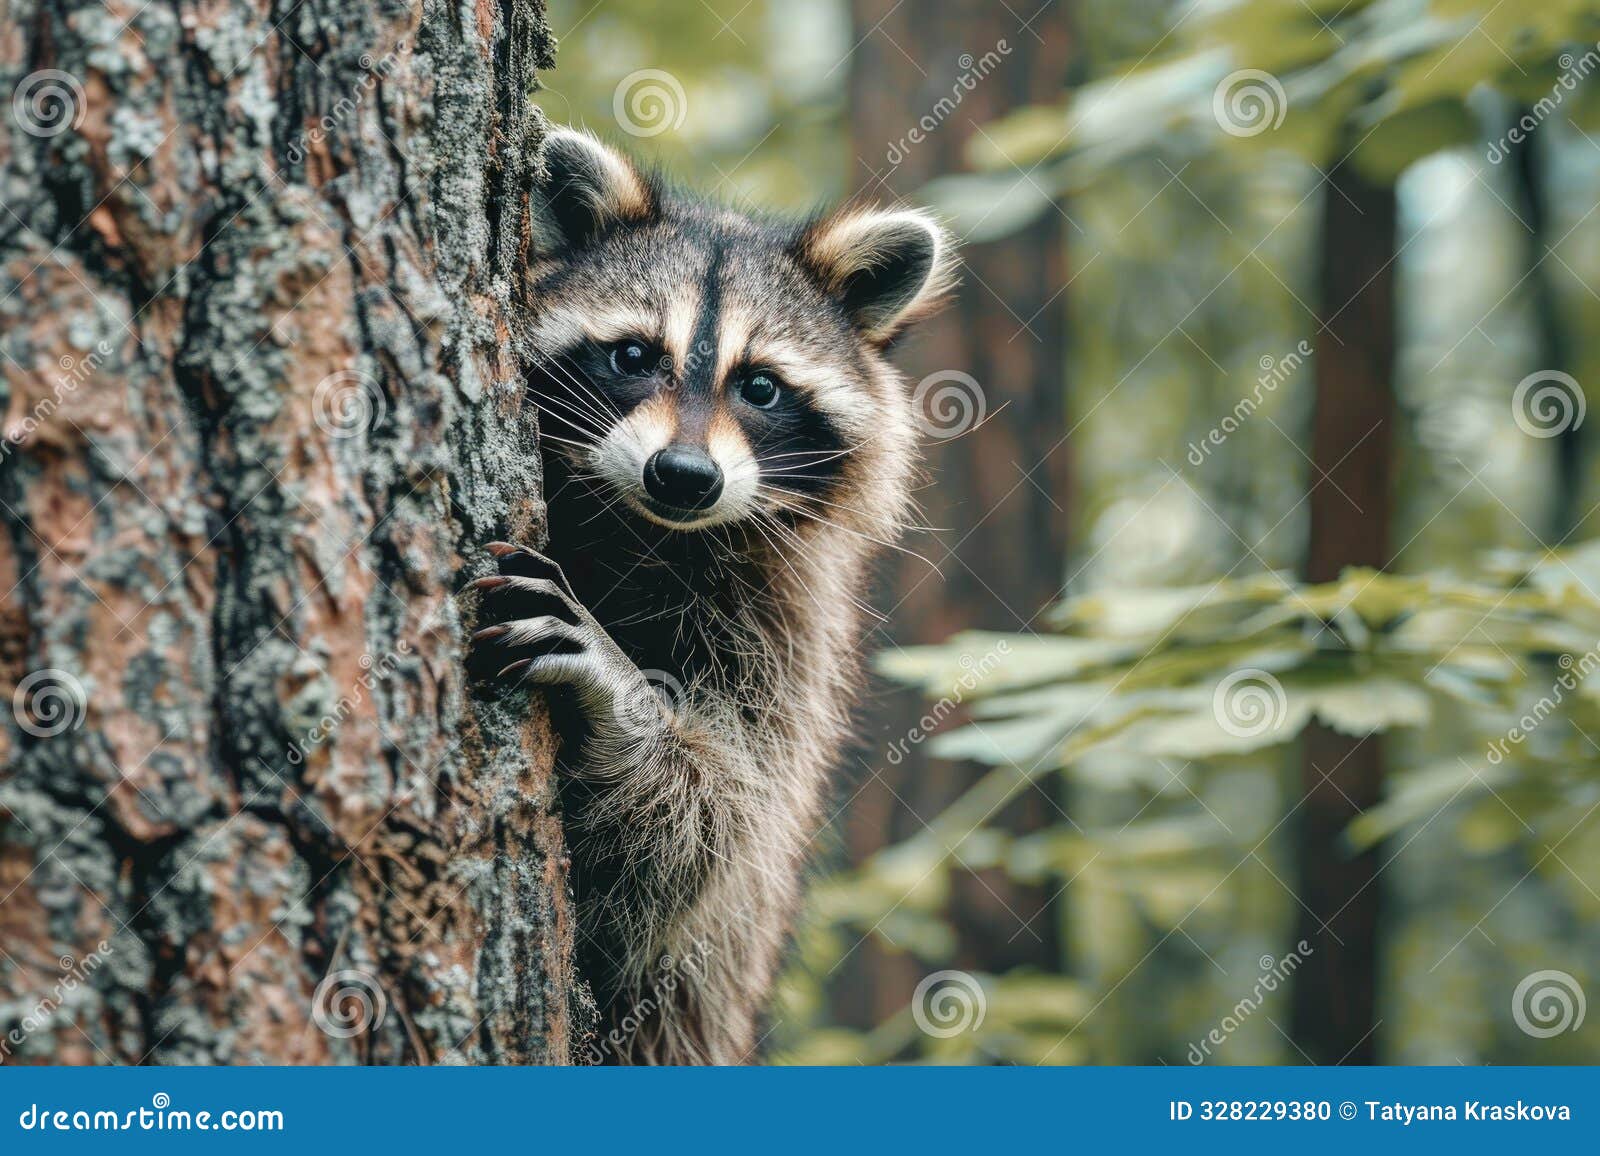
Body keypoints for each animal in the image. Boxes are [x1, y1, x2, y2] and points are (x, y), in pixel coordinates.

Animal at [467, 129, 955, 1064]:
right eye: (632, 356)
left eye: (760, 386)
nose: (685, 476)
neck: (649, 531)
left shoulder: (787, 626)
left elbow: (715, 826)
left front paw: (622, 699)